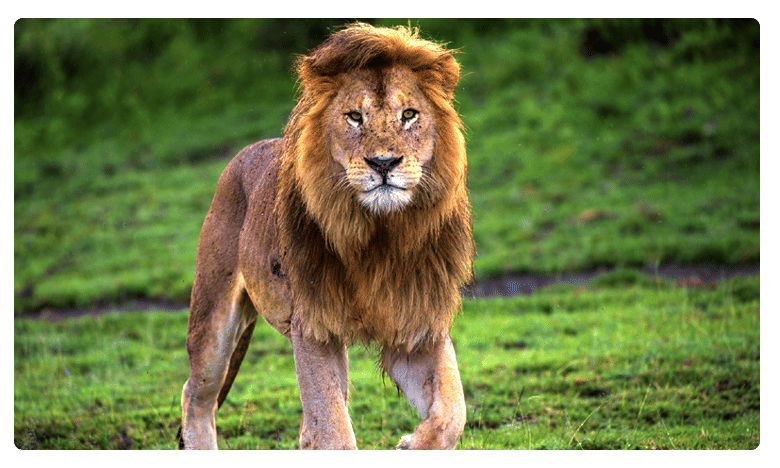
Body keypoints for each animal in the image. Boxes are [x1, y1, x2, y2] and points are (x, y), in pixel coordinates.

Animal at [179, 22, 473, 450]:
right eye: (354, 117)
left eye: (408, 115)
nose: (384, 163)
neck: (378, 236)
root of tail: (245, 152)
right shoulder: (313, 327)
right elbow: (334, 428)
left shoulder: (416, 324)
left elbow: (453, 410)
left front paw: (411, 443)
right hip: (212, 318)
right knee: (196, 397)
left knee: (304, 428)